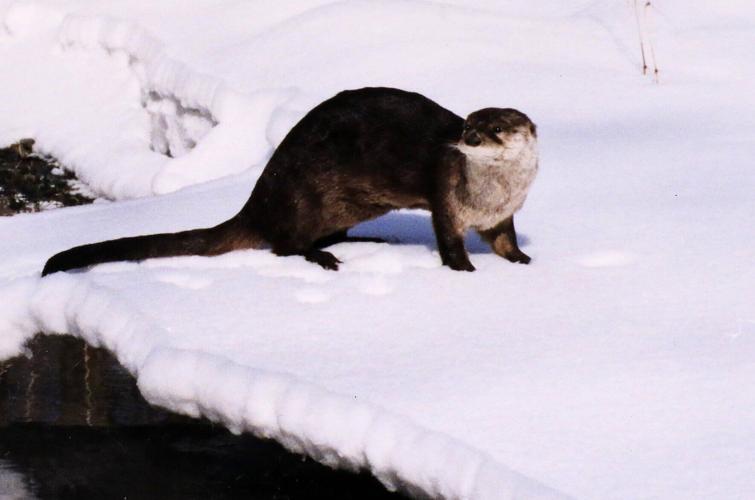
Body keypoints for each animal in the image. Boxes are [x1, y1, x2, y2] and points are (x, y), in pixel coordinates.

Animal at [41, 87, 537, 276]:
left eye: (496, 128)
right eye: (467, 125)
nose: (470, 138)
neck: (492, 195)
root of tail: (260, 197)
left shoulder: (505, 213)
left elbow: (505, 240)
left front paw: (523, 260)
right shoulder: (445, 200)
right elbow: (449, 240)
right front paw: (464, 269)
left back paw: (369, 241)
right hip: (305, 194)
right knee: (284, 243)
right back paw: (322, 258)